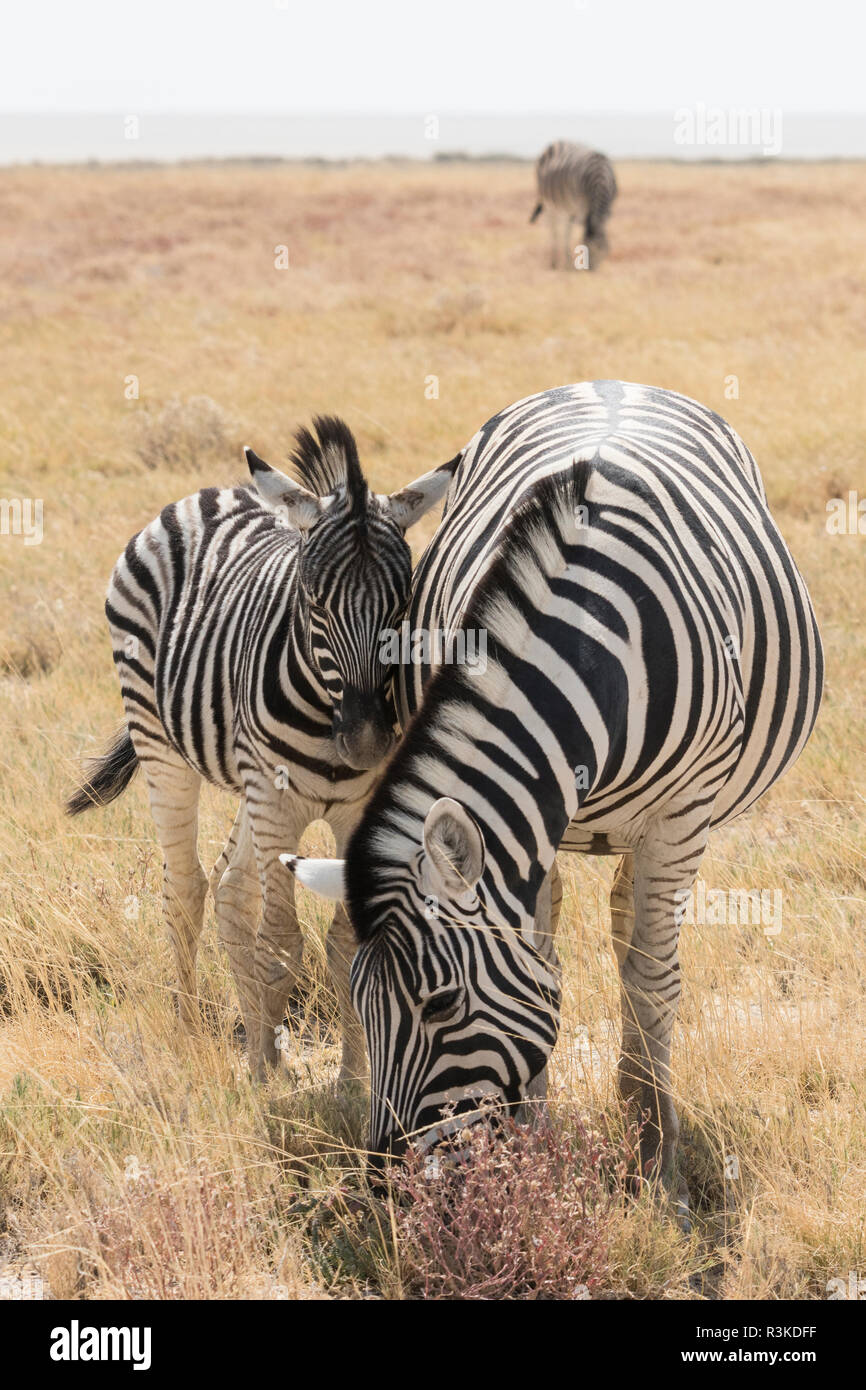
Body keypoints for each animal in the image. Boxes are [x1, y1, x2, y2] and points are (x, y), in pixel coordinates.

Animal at [66, 416, 454, 1081]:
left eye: (402, 605)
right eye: (315, 601)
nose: (366, 743)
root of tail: (205, 495)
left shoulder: (349, 811)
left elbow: (345, 941)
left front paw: (351, 1077)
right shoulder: (276, 806)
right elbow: (280, 943)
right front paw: (270, 1079)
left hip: (251, 784)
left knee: (229, 889)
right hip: (161, 744)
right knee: (187, 888)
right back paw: (190, 1031)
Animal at [282, 381, 823, 1211]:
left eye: (443, 1004)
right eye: (359, 1001)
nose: (388, 1193)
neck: (592, 641)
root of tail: (614, 382)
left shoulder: (682, 820)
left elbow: (653, 982)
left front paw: (659, 1173)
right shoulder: (529, 831)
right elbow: (543, 963)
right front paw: (531, 1145)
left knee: (637, 944)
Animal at [530, 140, 618, 270]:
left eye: (602, 250)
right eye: (586, 246)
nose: (591, 270)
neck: (600, 179)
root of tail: (556, 142)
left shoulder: (606, 208)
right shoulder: (582, 207)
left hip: (567, 208)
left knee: (566, 230)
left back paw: (567, 262)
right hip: (550, 202)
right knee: (555, 230)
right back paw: (555, 262)